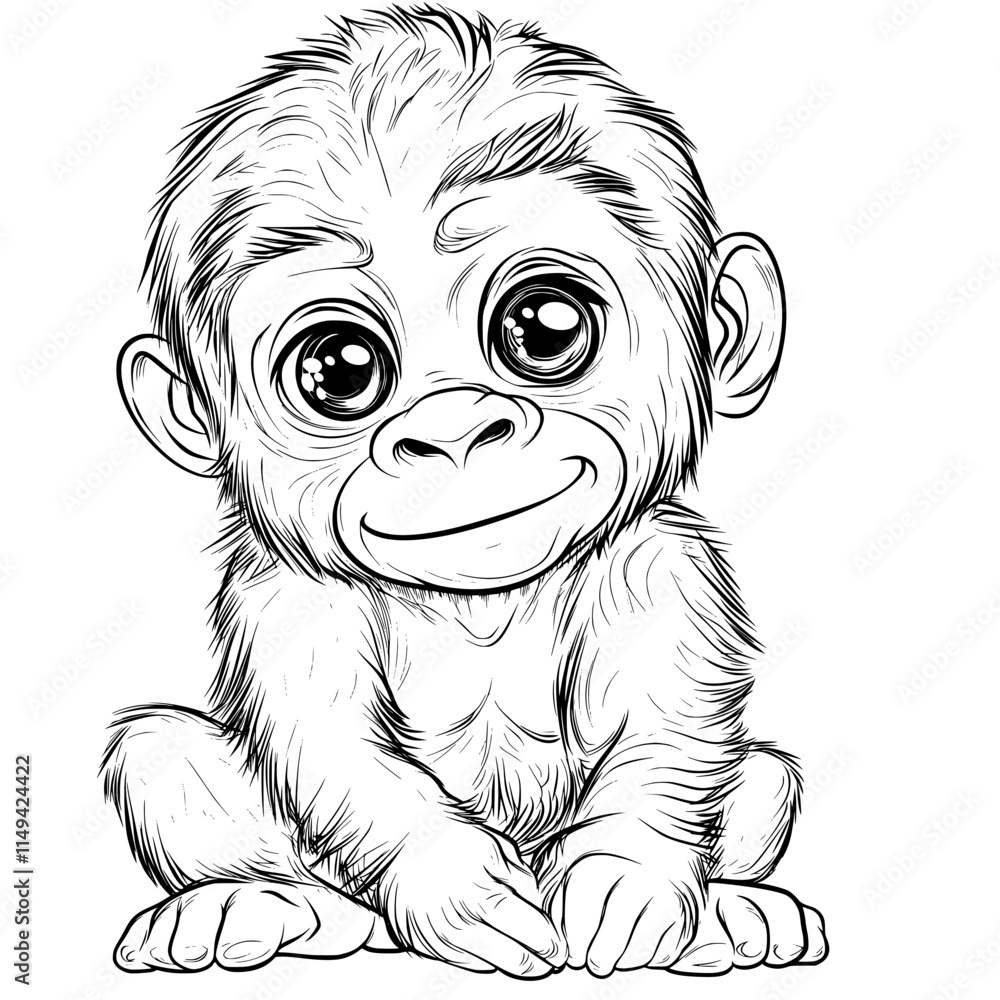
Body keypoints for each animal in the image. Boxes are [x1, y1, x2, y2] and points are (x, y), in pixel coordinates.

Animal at [103, 5, 827, 979]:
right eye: (339, 370)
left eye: (546, 326)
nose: (451, 431)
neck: (481, 603)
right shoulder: (286, 598)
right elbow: (334, 746)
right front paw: (455, 884)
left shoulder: (662, 564)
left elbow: (665, 721)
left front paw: (628, 881)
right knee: (162, 750)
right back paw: (258, 910)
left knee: (762, 776)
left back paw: (734, 912)